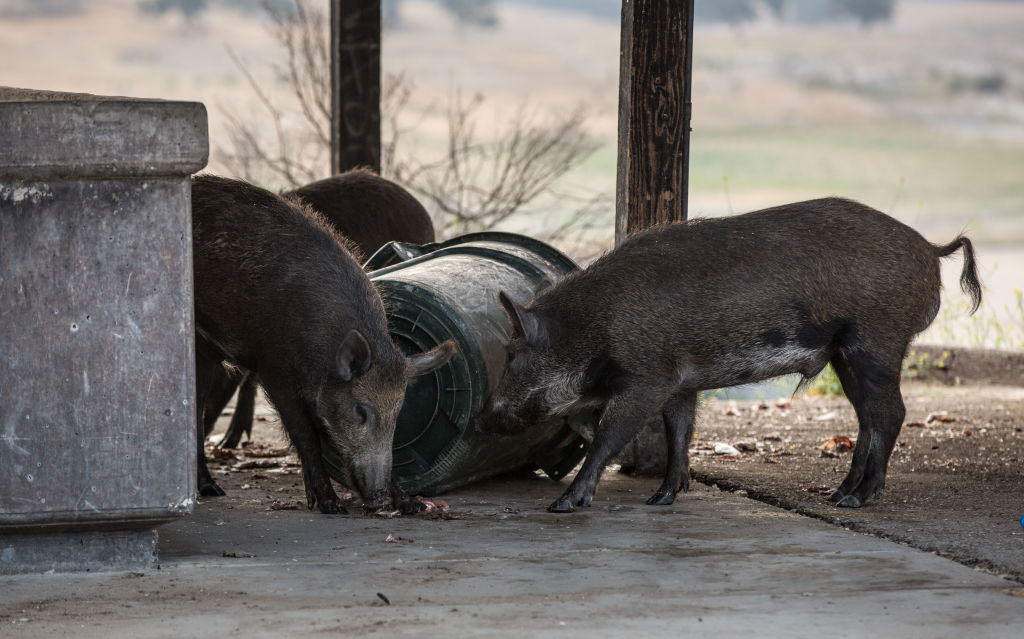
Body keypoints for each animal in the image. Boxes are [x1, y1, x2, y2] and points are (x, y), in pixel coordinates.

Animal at [191, 175, 454, 512]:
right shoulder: (274, 369)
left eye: (397, 414)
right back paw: (213, 488)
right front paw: (330, 505)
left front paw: (412, 505)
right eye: (361, 411)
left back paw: (212, 488)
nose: (381, 499)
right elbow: (306, 435)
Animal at [475, 197, 981, 513]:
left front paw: (562, 505)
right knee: (867, 418)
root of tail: (930, 248)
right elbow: (679, 431)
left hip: (876, 341)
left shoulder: (647, 378)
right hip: (845, 353)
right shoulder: (680, 381)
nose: (481, 418)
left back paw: (859, 500)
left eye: (512, 354)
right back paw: (837, 496)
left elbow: (608, 436)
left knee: (891, 414)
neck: (592, 329)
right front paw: (661, 499)